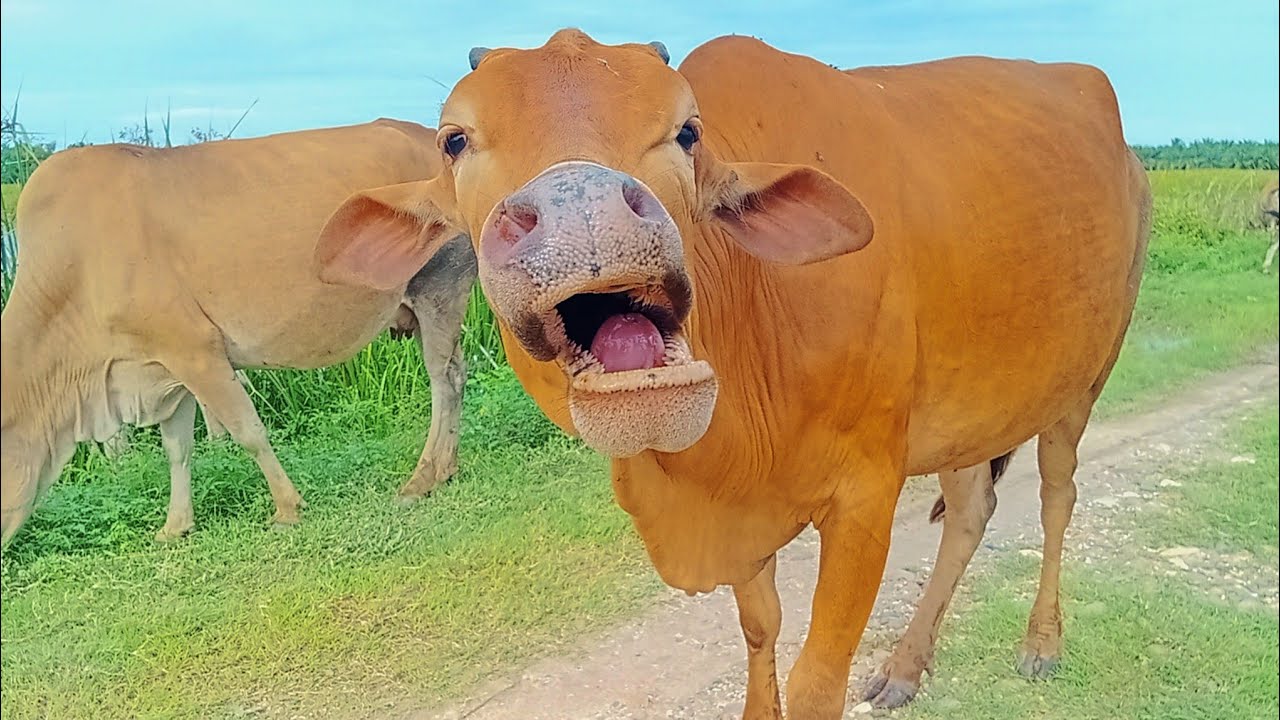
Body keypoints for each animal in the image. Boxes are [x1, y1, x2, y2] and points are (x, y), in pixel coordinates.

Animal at [1, 119, 476, 546]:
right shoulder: (165, 368)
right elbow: (178, 449)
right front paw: (175, 526)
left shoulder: (197, 351)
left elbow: (248, 431)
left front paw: (287, 508)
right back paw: (445, 470)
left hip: (439, 286)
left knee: (445, 379)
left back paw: (422, 479)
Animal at [315, 30, 1150, 719]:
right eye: (454, 140)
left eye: (687, 131)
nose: (582, 207)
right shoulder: (746, 514)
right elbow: (759, 628)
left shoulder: (865, 496)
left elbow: (818, 678)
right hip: (972, 409)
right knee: (974, 509)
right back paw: (907, 667)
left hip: (1084, 376)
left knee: (1056, 495)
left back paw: (1042, 642)